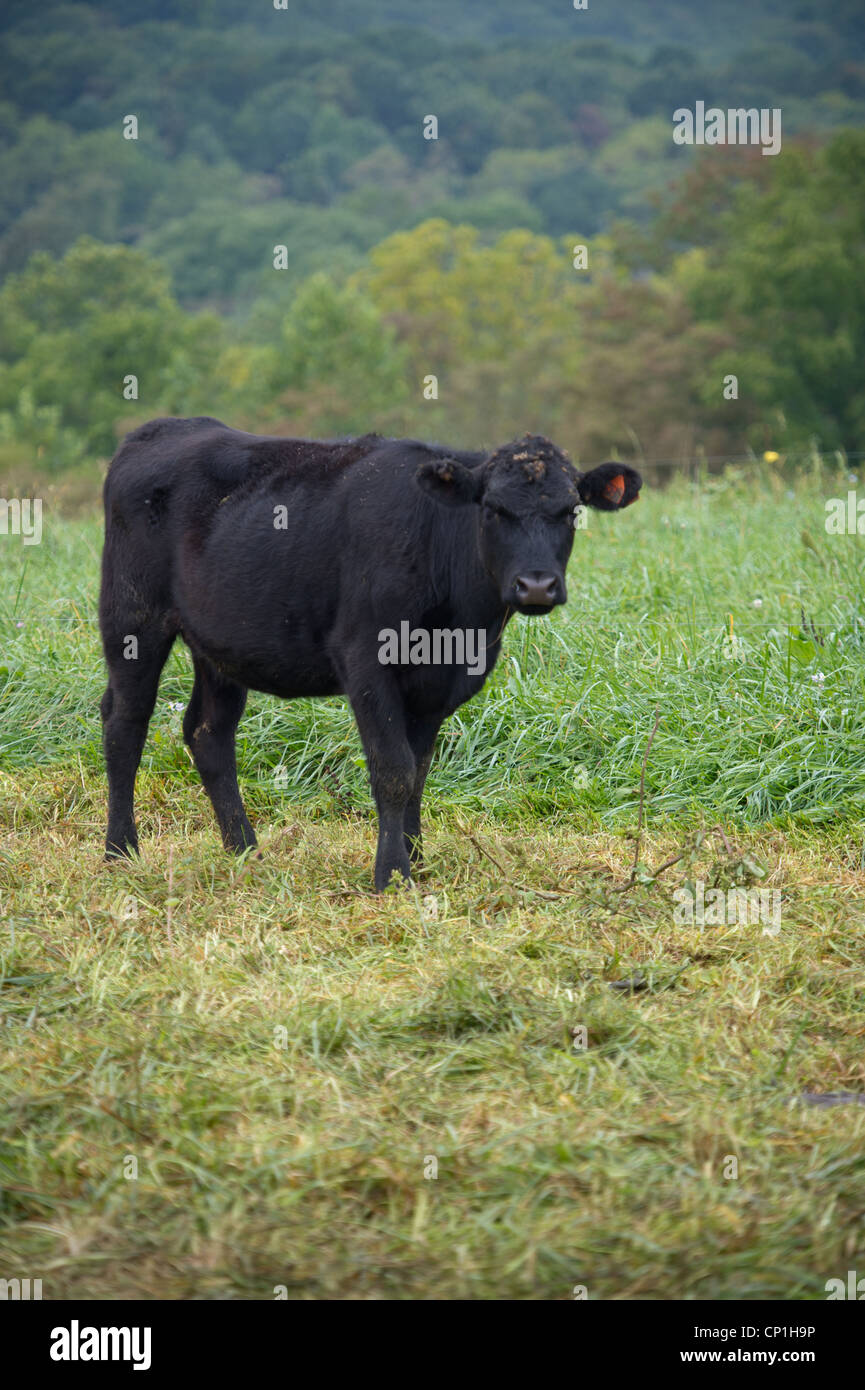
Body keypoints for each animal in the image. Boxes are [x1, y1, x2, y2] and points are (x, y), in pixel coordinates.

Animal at [99, 418, 640, 889]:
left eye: (570, 511)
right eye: (491, 509)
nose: (537, 585)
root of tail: (166, 427)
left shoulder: (441, 681)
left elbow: (419, 770)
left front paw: (417, 858)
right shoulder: (366, 660)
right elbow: (393, 770)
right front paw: (393, 875)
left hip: (219, 642)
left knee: (209, 733)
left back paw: (245, 852)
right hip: (132, 616)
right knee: (125, 723)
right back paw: (121, 852)